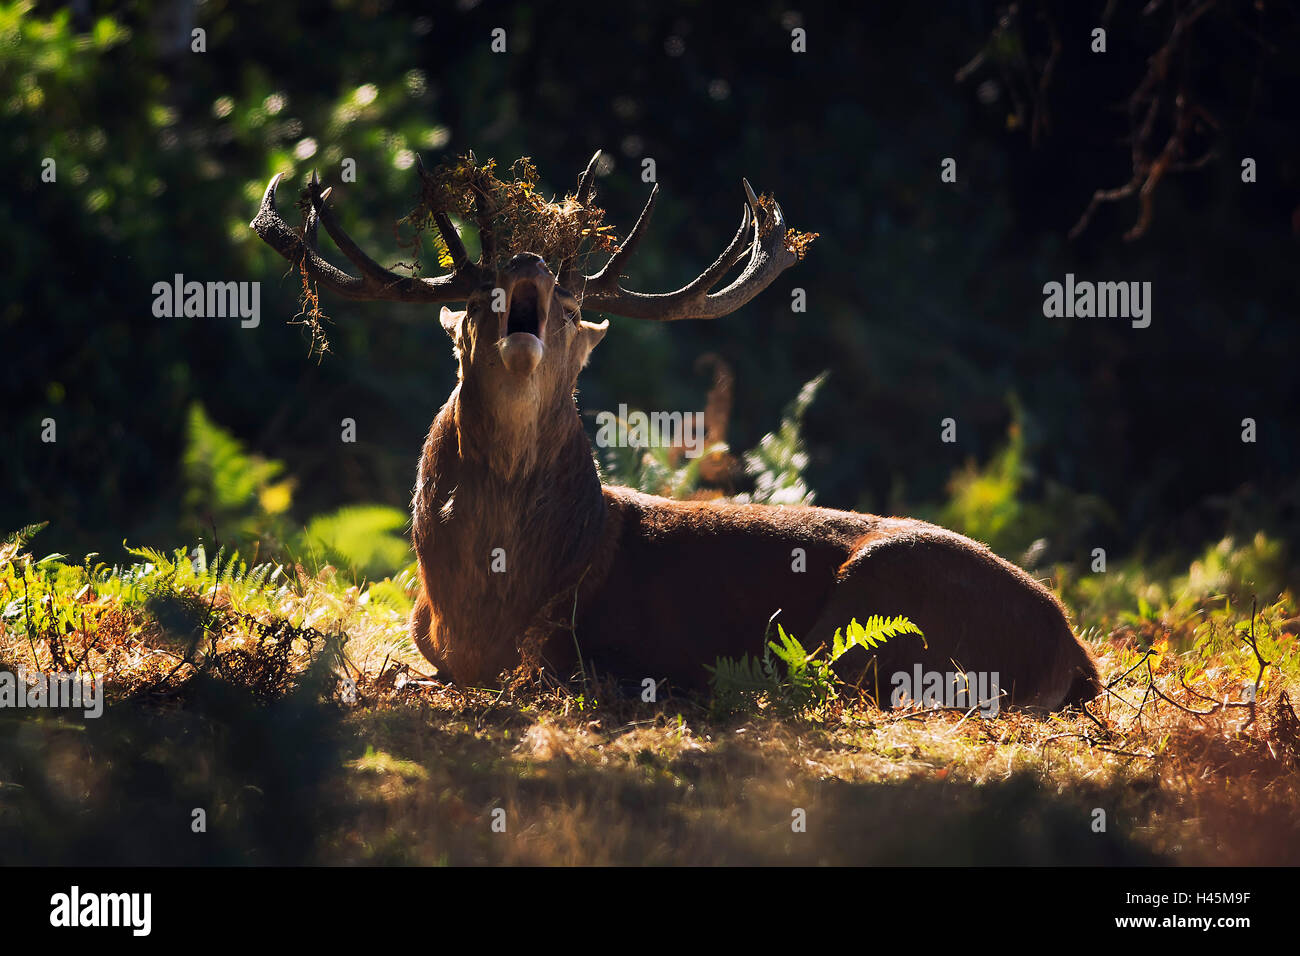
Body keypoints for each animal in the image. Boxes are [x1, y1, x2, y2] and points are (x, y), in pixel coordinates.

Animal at [250, 151, 1102, 710]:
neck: (484, 606)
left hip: (881, 601)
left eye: (570, 307)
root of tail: (1072, 648)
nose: (529, 261)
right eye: (477, 301)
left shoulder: (586, 654)